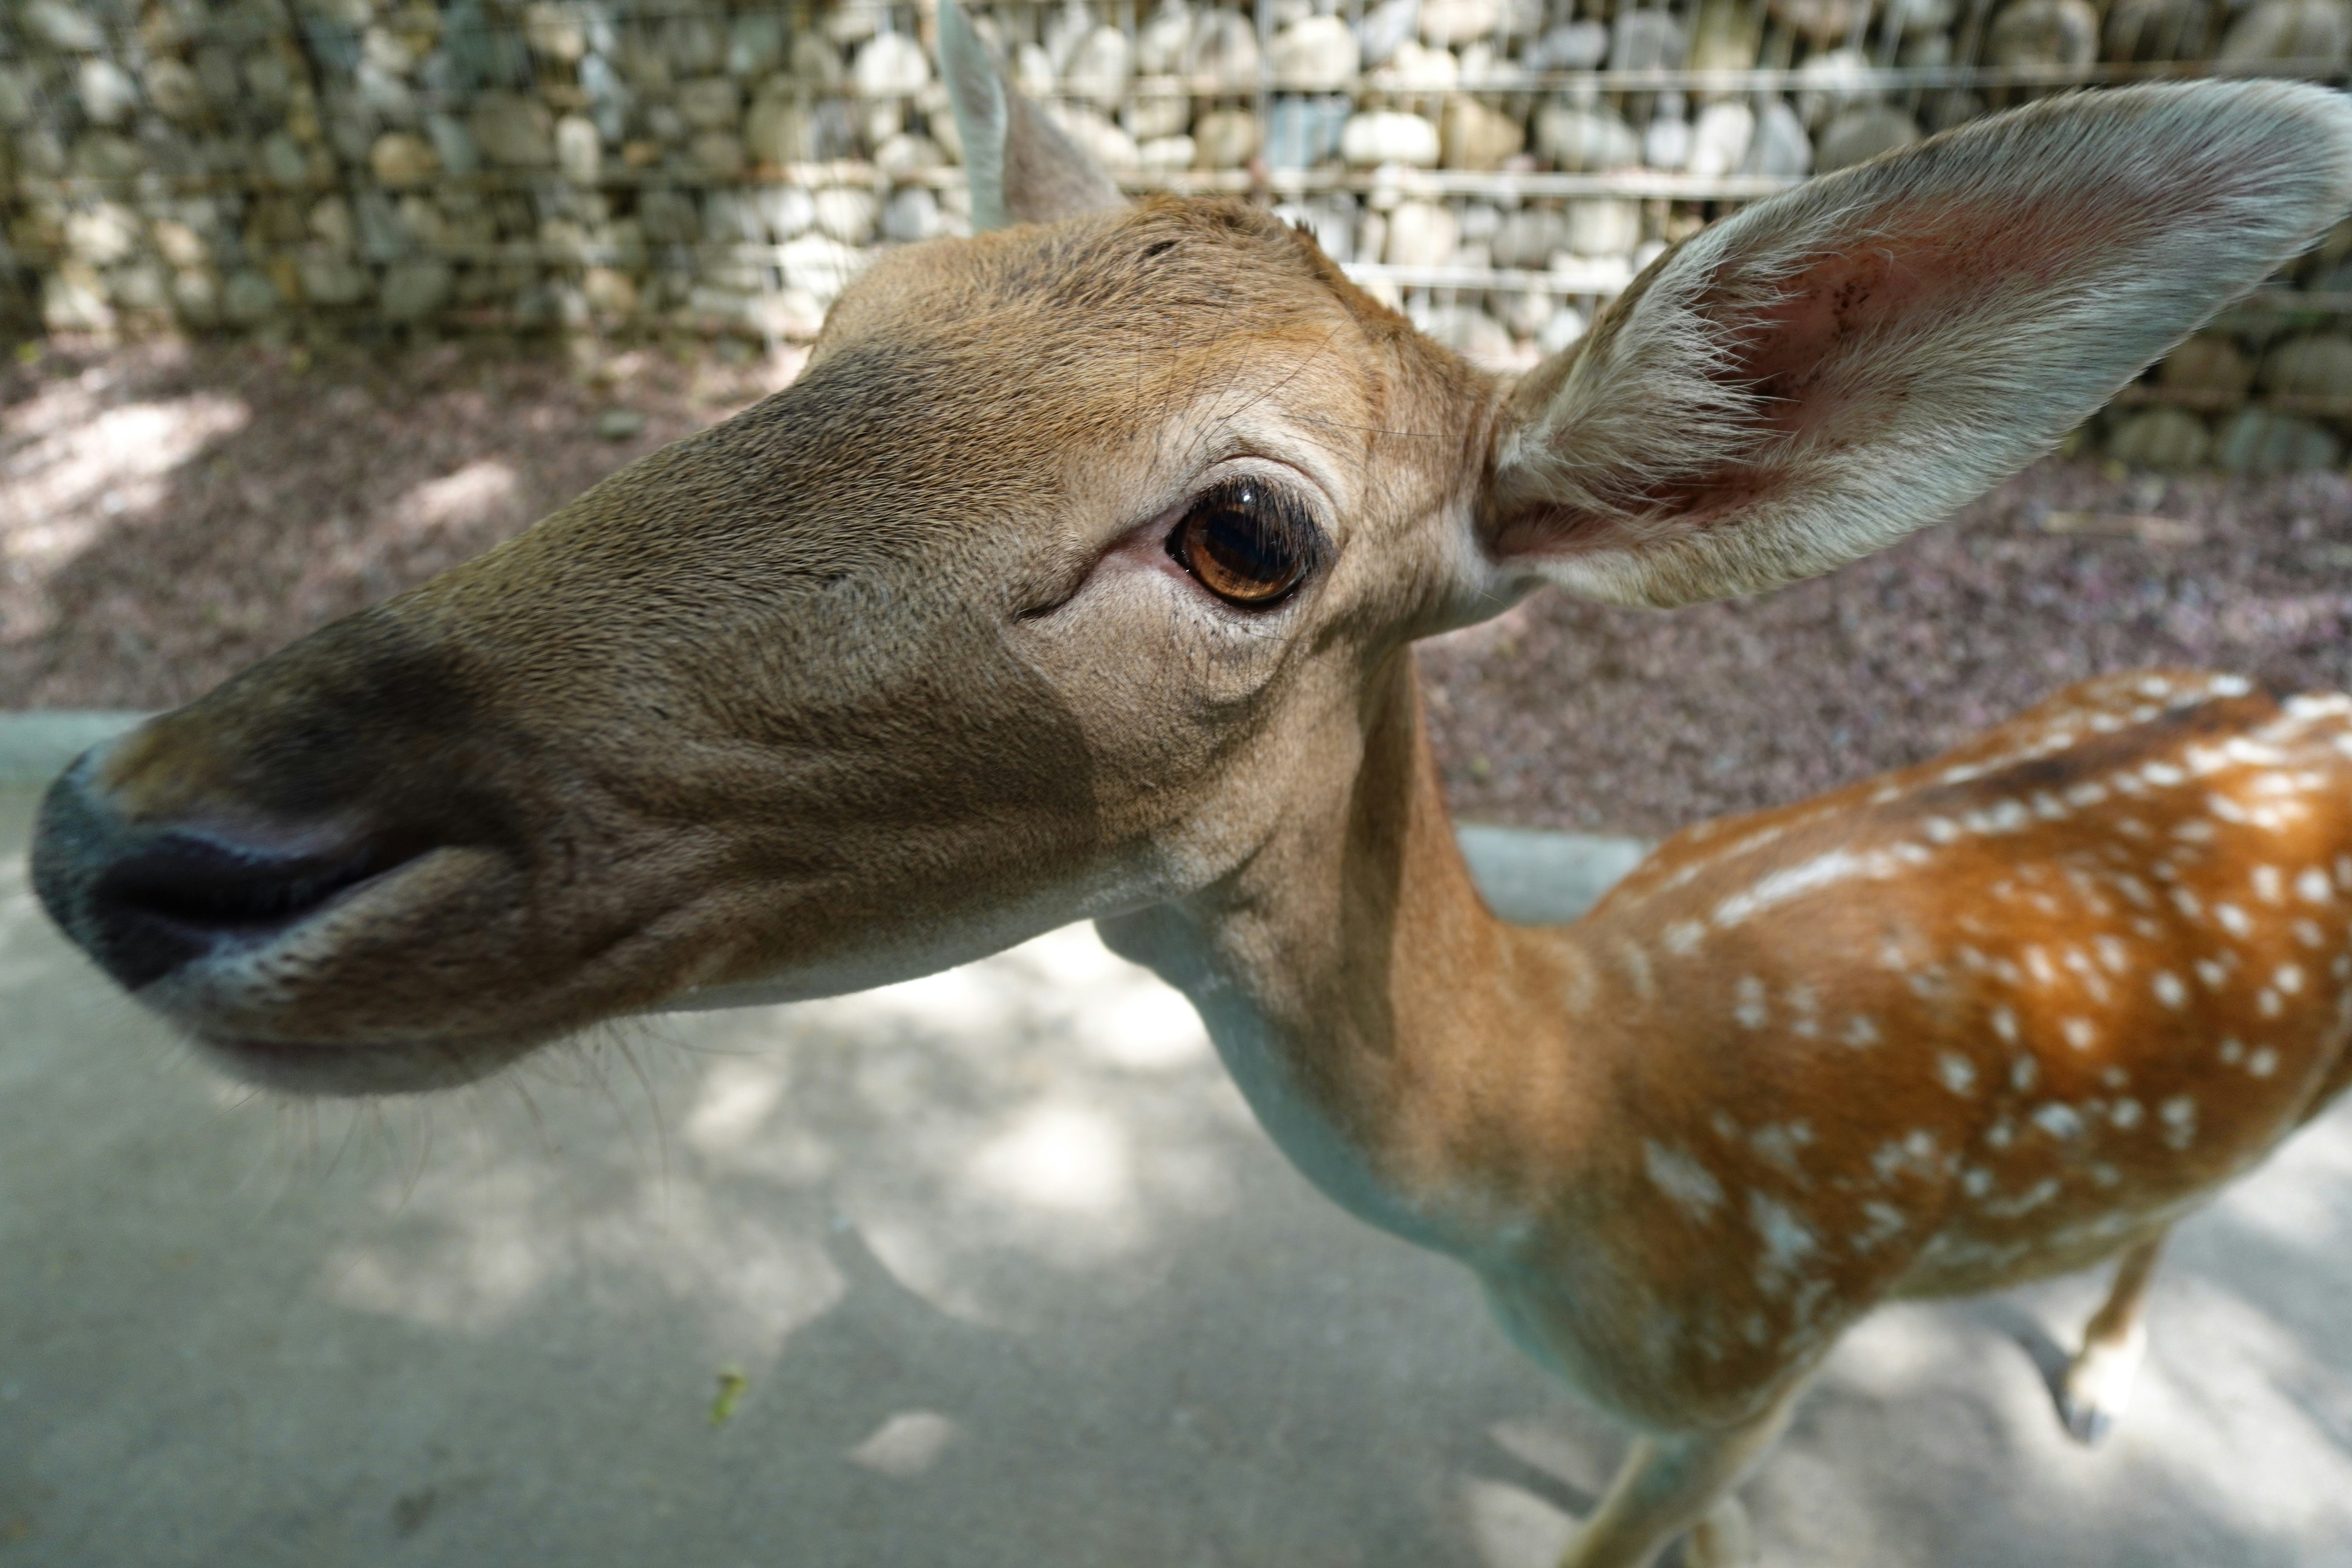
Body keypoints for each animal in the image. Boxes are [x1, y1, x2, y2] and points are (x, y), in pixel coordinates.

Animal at [26, 9, 2352, 1557]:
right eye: (849, 312)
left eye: (1249, 533)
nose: (129, 840)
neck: (1593, 1142)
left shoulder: (1750, 1367)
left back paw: (2101, 1380)